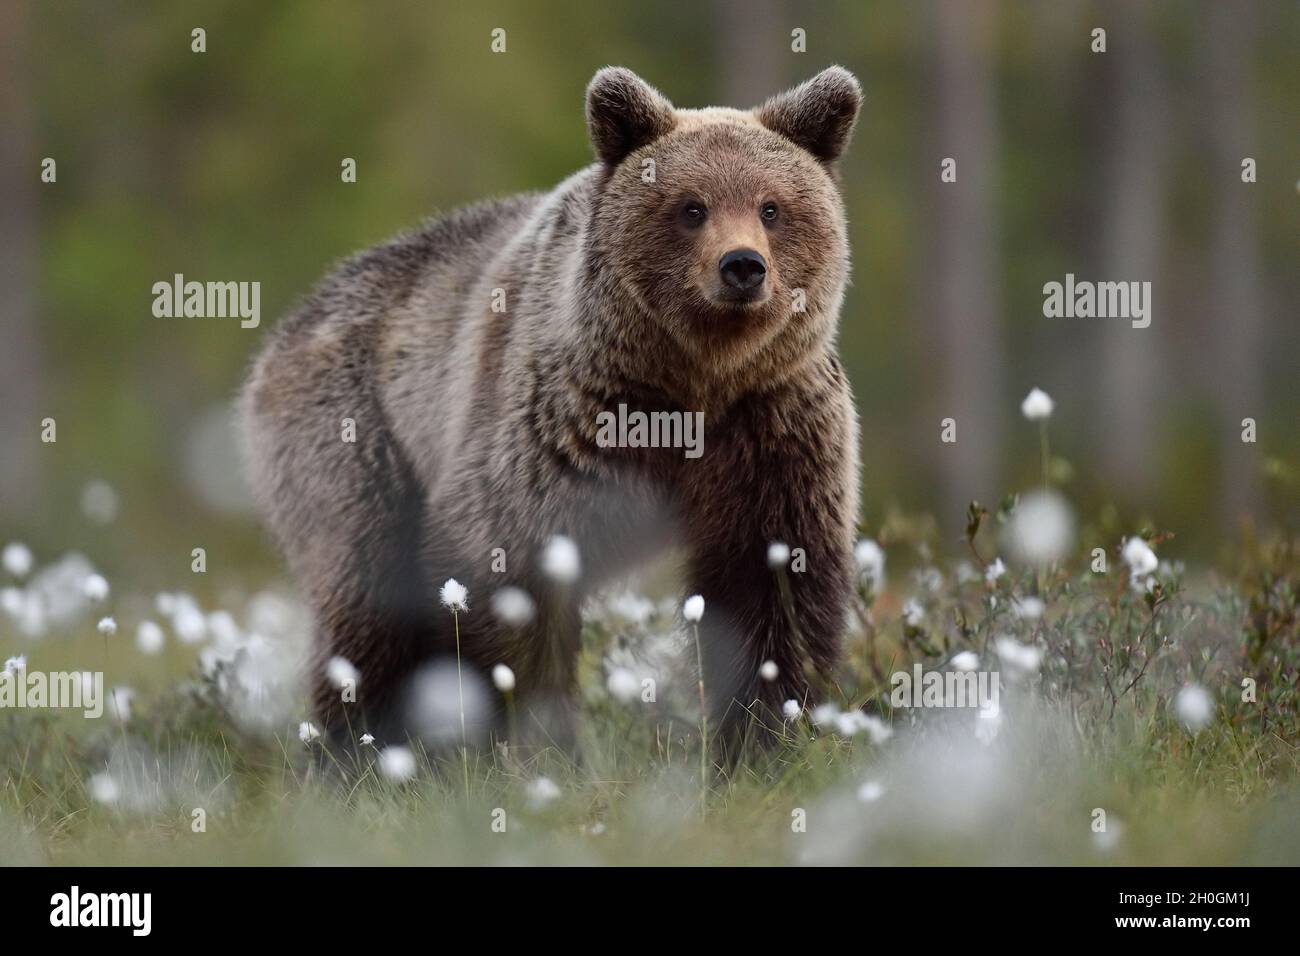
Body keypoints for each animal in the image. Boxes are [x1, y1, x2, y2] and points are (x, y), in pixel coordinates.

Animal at [239, 66, 862, 759]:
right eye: (692, 207)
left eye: (772, 207)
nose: (743, 266)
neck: (692, 383)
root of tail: (293, 322)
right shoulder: (563, 425)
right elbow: (506, 571)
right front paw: (529, 740)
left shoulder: (771, 427)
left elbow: (772, 582)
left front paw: (768, 738)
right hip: (353, 439)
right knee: (366, 605)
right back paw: (356, 751)